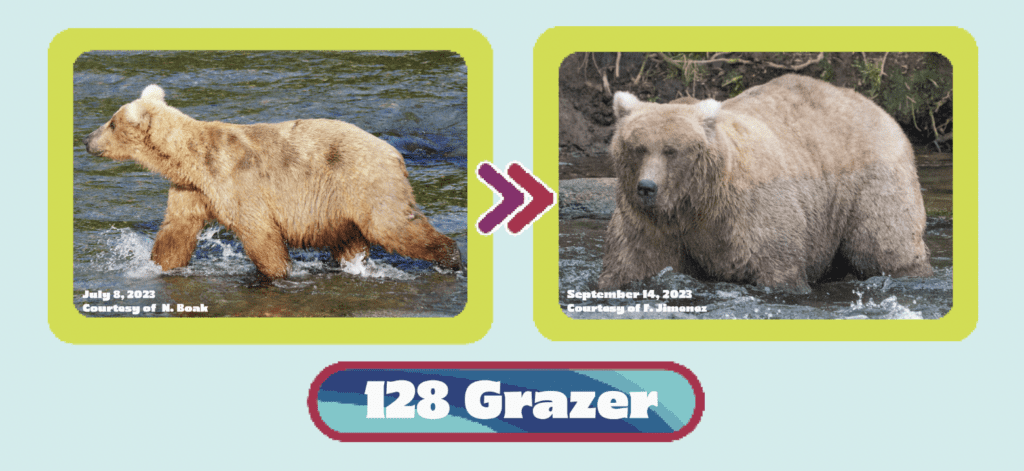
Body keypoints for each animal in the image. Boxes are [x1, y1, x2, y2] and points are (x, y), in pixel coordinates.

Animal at [83, 84, 464, 279]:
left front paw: (279, 274)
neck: (191, 160)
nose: (86, 139)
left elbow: (260, 234)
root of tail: (396, 152)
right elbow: (176, 231)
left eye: (111, 123)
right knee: (350, 242)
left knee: (394, 225)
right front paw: (153, 265)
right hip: (339, 208)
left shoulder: (237, 182)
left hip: (366, 184)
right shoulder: (192, 190)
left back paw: (451, 258)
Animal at [598, 74, 932, 294]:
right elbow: (633, 264)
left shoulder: (750, 214)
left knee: (884, 244)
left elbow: (776, 266)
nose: (647, 187)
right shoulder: (650, 225)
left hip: (870, 182)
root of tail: (877, 108)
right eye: (638, 147)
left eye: (671, 150)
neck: (697, 203)